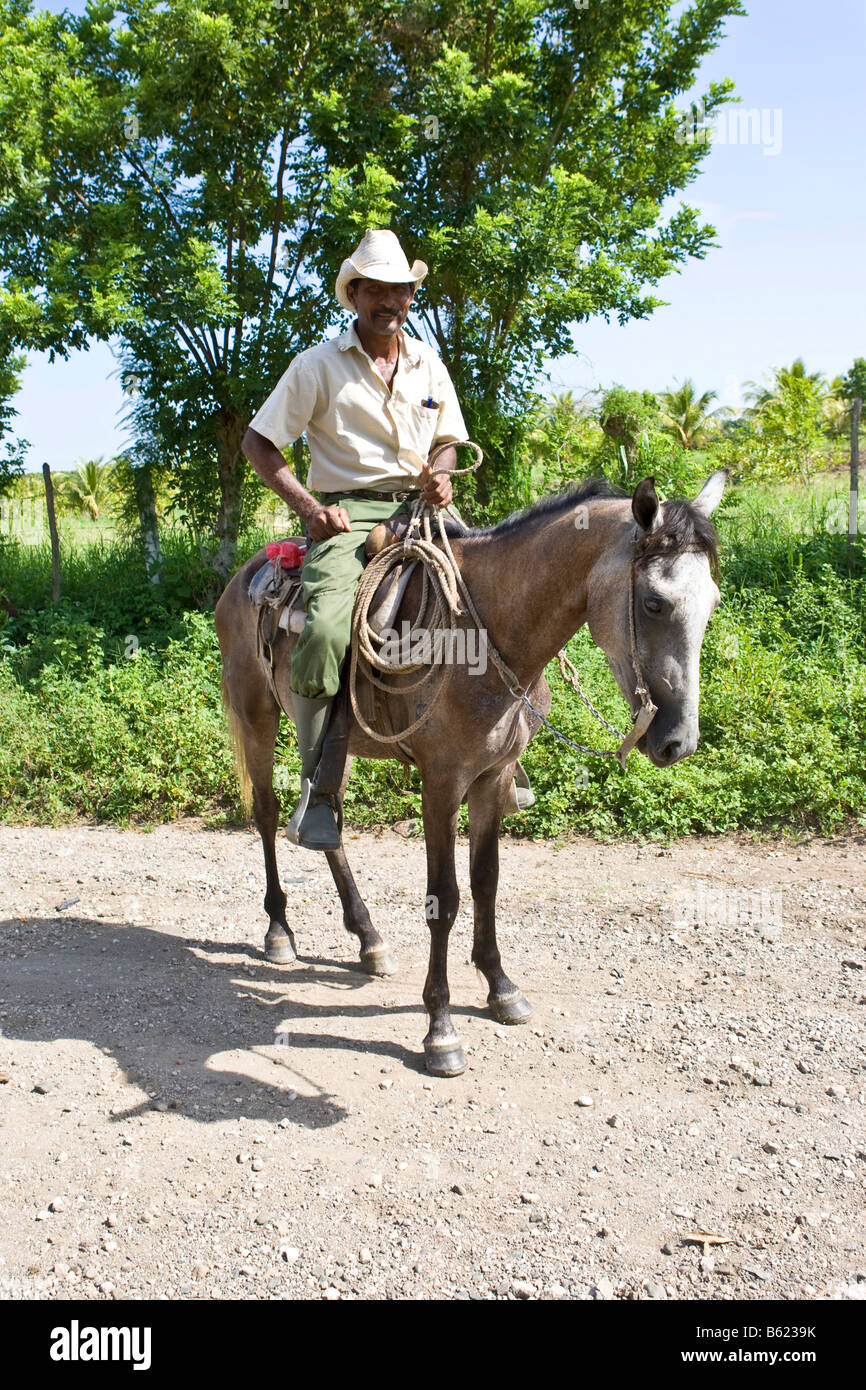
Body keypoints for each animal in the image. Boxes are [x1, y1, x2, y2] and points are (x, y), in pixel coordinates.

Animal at [215, 470, 726, 1076]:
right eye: (653, 603)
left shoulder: (492, 778)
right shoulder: (441, 783)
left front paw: (500, 986)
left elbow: (486, 882)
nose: (678, 742)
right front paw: (440, 1029)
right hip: (257, 716)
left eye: (712, 602)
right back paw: (279, 930)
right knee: (268, 815)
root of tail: (244, 575)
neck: (486, 632)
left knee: (324, 818)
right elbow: (445, 898)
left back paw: (368, 938)